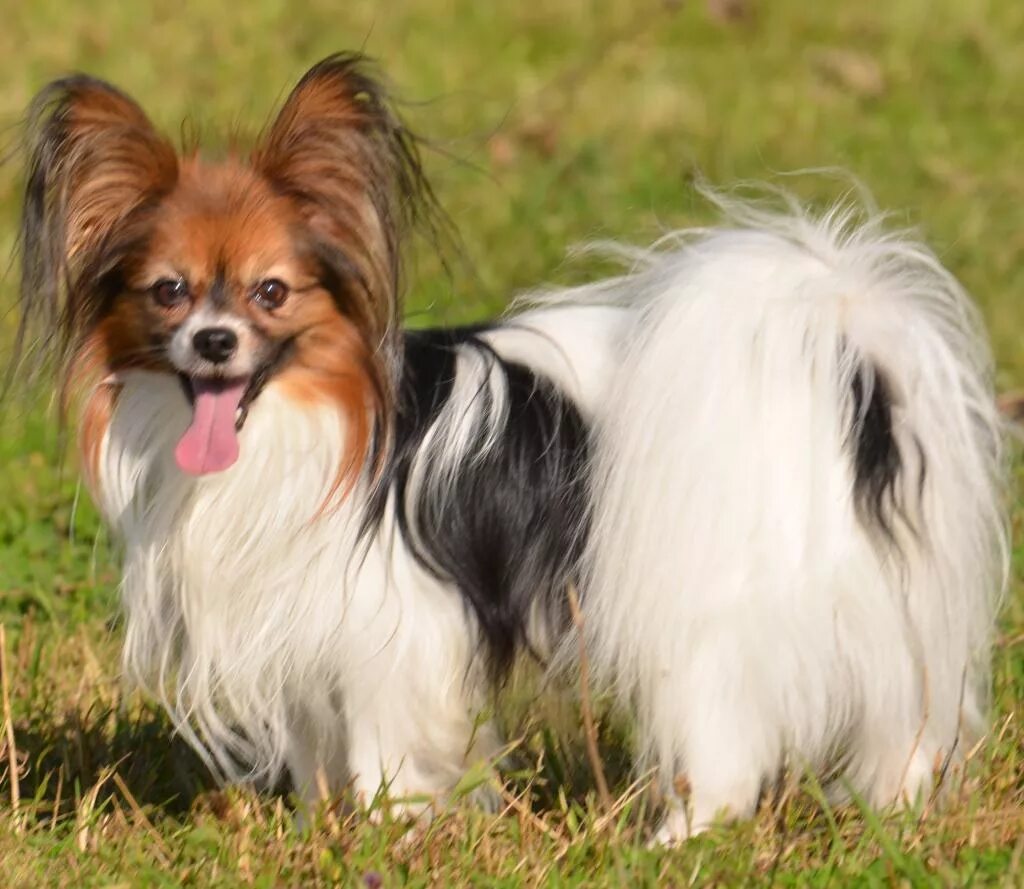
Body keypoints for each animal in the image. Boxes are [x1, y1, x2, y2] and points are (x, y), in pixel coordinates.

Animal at [12, 51, 1007, 843]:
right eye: (168, 292)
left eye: (271, 292)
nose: (214, 342)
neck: (303, 428)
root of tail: (841, 353)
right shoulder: (300, 637)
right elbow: (320, 758)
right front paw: (320, 830)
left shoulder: (395, 631)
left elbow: (382, 756)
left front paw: (390, 835)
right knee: (904, 718)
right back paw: (887, 809)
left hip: (711, 617)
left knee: (729, 748)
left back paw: (678, 838)